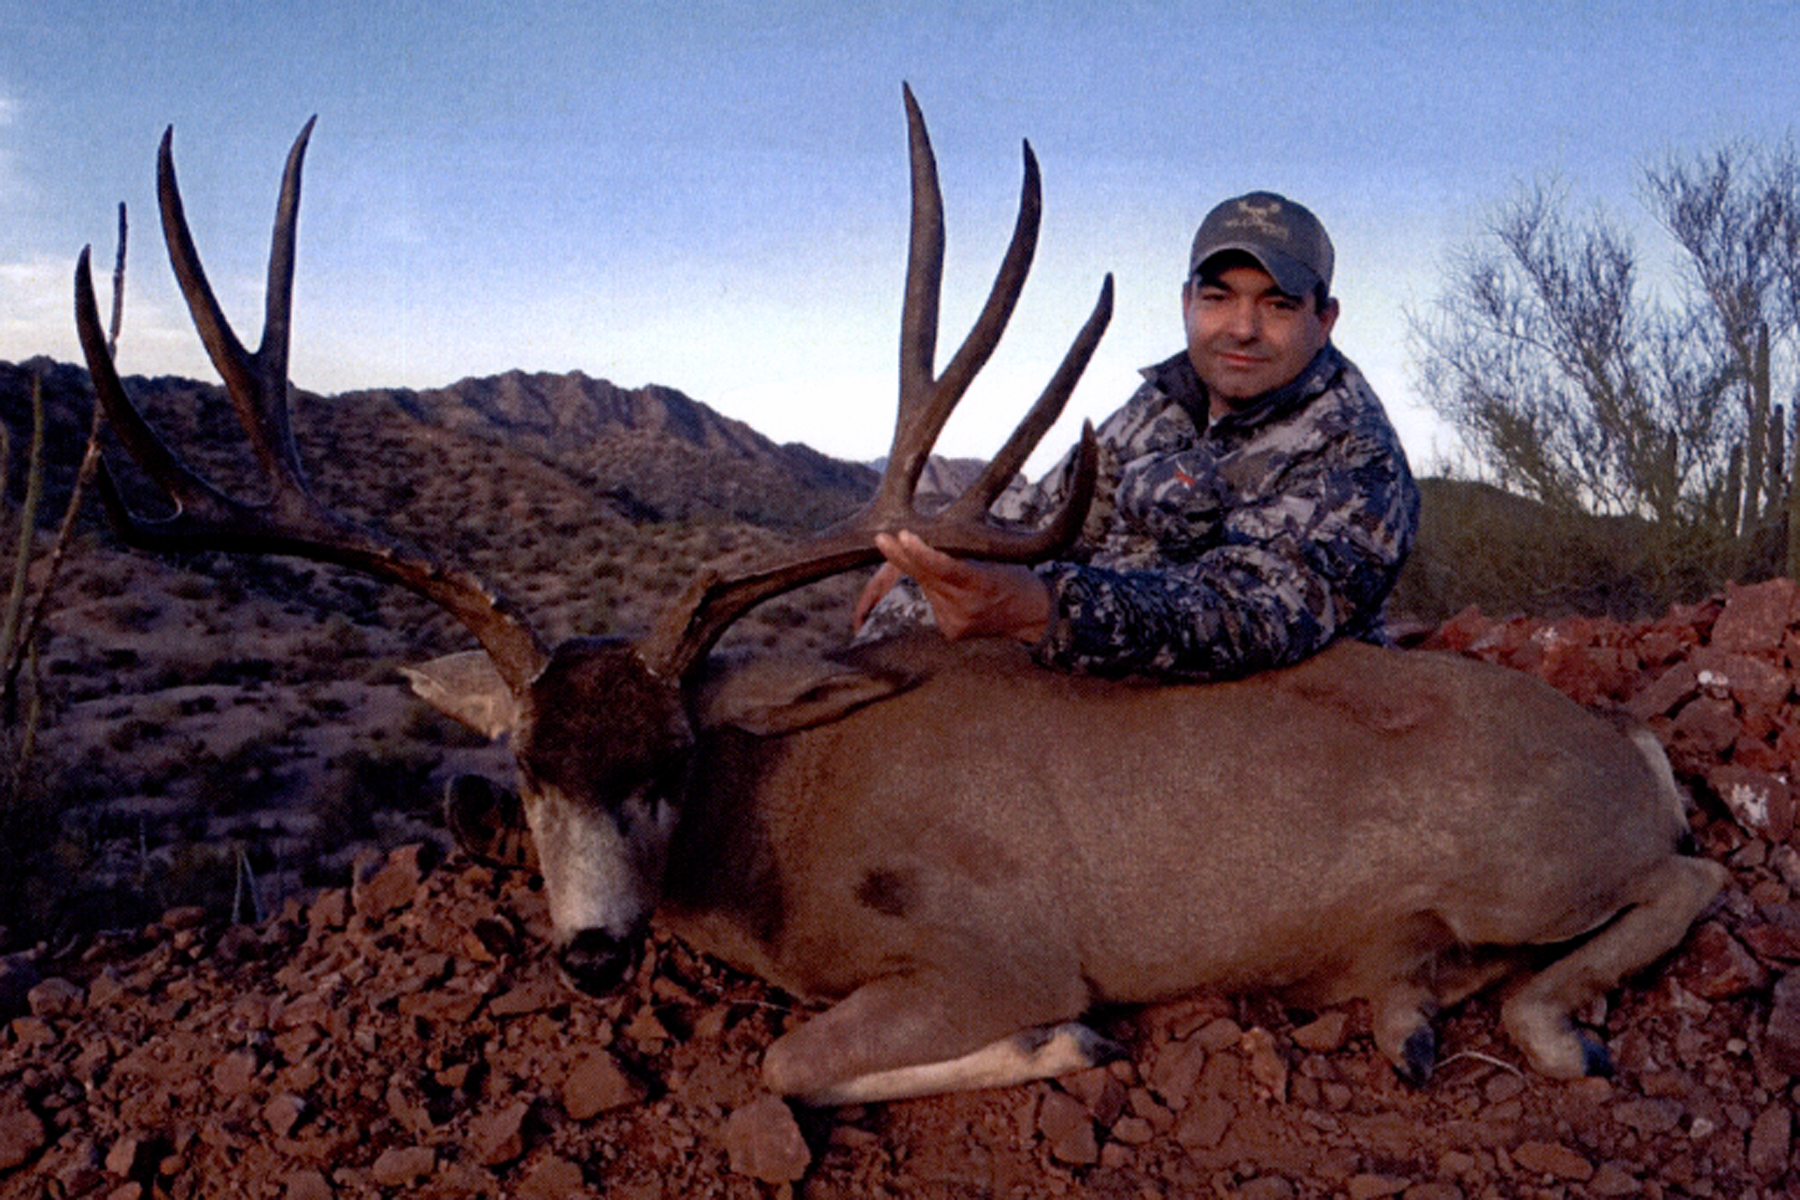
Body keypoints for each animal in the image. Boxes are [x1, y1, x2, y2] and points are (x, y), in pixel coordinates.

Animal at [74, 87, 1726, 1108]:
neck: (787, 820)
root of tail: (1631, 745)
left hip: (1534, 861)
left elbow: (793, 1064)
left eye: (671, 758)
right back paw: (1409, 1012)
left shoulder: (994, 944)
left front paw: (1066, 1049)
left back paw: (1544, 1027)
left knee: (1691, 877)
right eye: (526, 769)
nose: (594, 951)